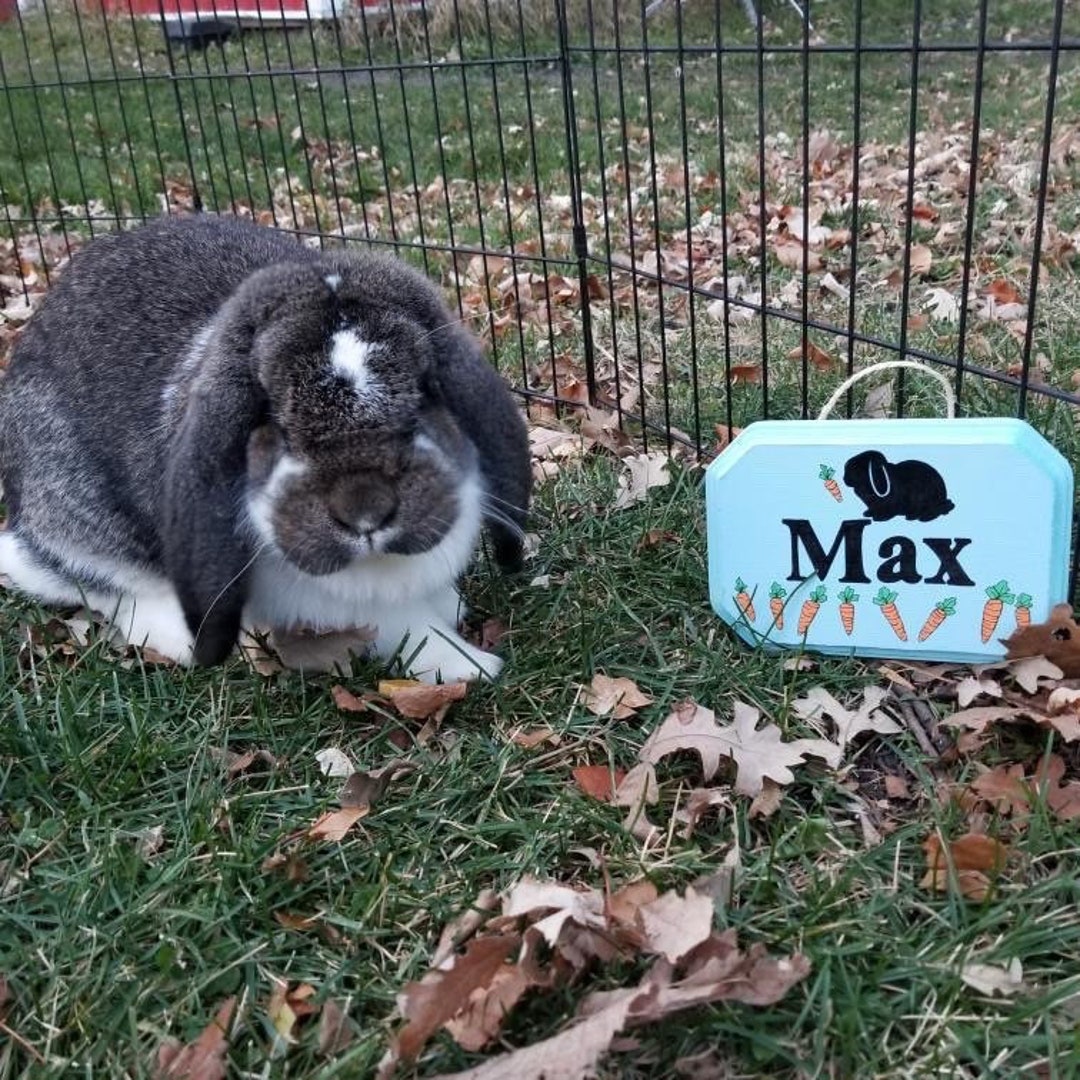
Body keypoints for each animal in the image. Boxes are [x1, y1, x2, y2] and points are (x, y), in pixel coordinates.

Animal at [0, 214, 530, 683]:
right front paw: (471, 666)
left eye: (424, 392)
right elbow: (403, 625)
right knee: (113, 588)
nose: (366, 512)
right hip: (88, 518)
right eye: (272, 417)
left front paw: (453, 608)